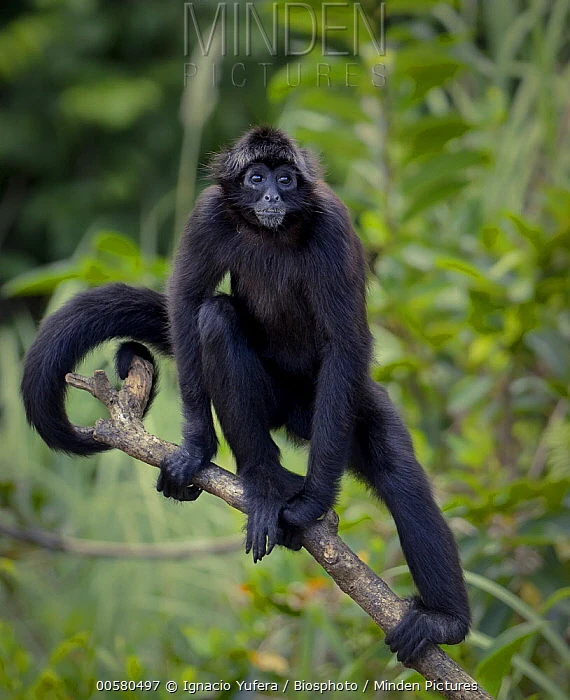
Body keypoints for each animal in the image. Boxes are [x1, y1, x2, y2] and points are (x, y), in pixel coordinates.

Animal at [21, 127, 470, 663]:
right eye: (256, 178)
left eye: (285, 178)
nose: (272, 196)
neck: (271, 232)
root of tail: (297, 414)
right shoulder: (208, 215)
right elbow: (188, 302)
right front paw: (196, 449)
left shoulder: (334, 227)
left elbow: (345, 345)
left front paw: (312, 503)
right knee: (216, 317)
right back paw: (264, 480)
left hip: (344, 404)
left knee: (397, 471)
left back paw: (444, 621)